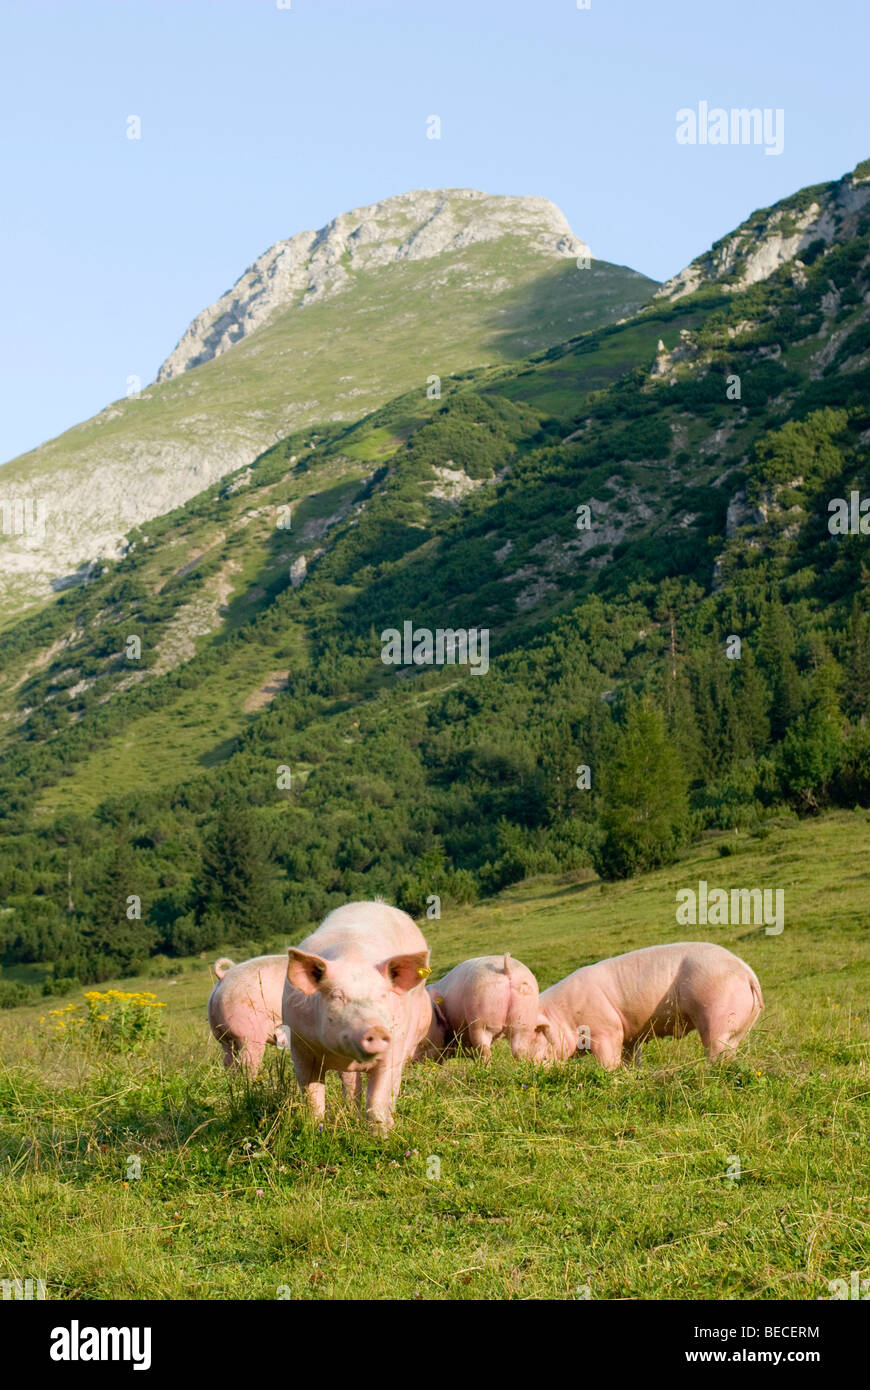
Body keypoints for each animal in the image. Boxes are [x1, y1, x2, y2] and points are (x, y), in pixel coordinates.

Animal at [278, 900, 432, 1134]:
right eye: (338, 996)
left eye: (383, 995)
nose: (375, 1029)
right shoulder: (299, 1046)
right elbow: (313, 1098)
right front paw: (314, 1131)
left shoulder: (393, 1048)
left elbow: (377, 1099)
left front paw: (381, 1135)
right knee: (351, 1083)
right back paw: (352, 1114)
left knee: (393, 1085)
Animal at [525, 942, 763, 1069]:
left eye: (538, 1032)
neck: (565, 1015)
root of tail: (748, 974)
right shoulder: (630, 1037)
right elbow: (631, 1057)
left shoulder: (607, 1030)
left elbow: (608, 1060)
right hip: (739, 1029)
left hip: (716, 1015)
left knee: (715, 1049)